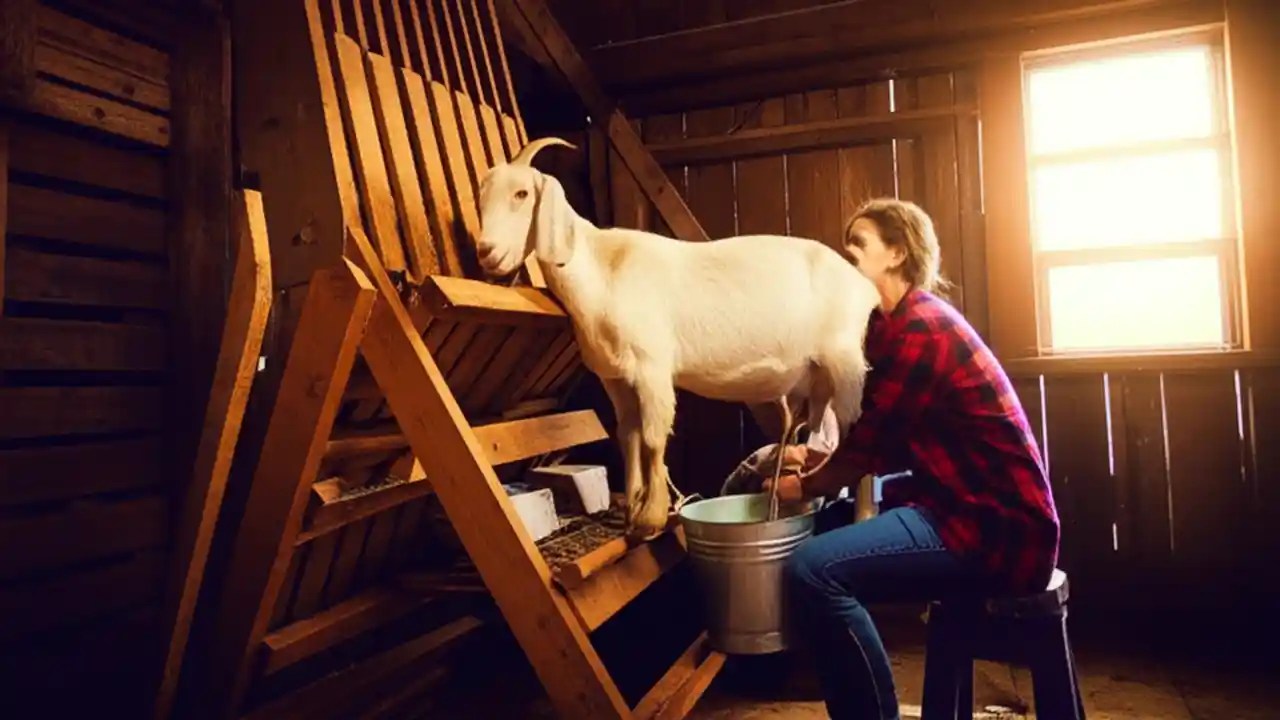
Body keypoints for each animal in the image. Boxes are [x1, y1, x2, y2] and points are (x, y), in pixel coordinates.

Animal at [475, 137, 880, 540]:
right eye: (481, 196)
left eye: (522, 193)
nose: (485, 251)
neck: (604, 270)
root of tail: (865, 289)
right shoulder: (615, 378)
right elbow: (629, 436)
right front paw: (633, 513)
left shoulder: (651, 366)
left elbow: (654, 438)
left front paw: (651, 517)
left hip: (846, 361)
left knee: (857, 433)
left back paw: (863, 514)